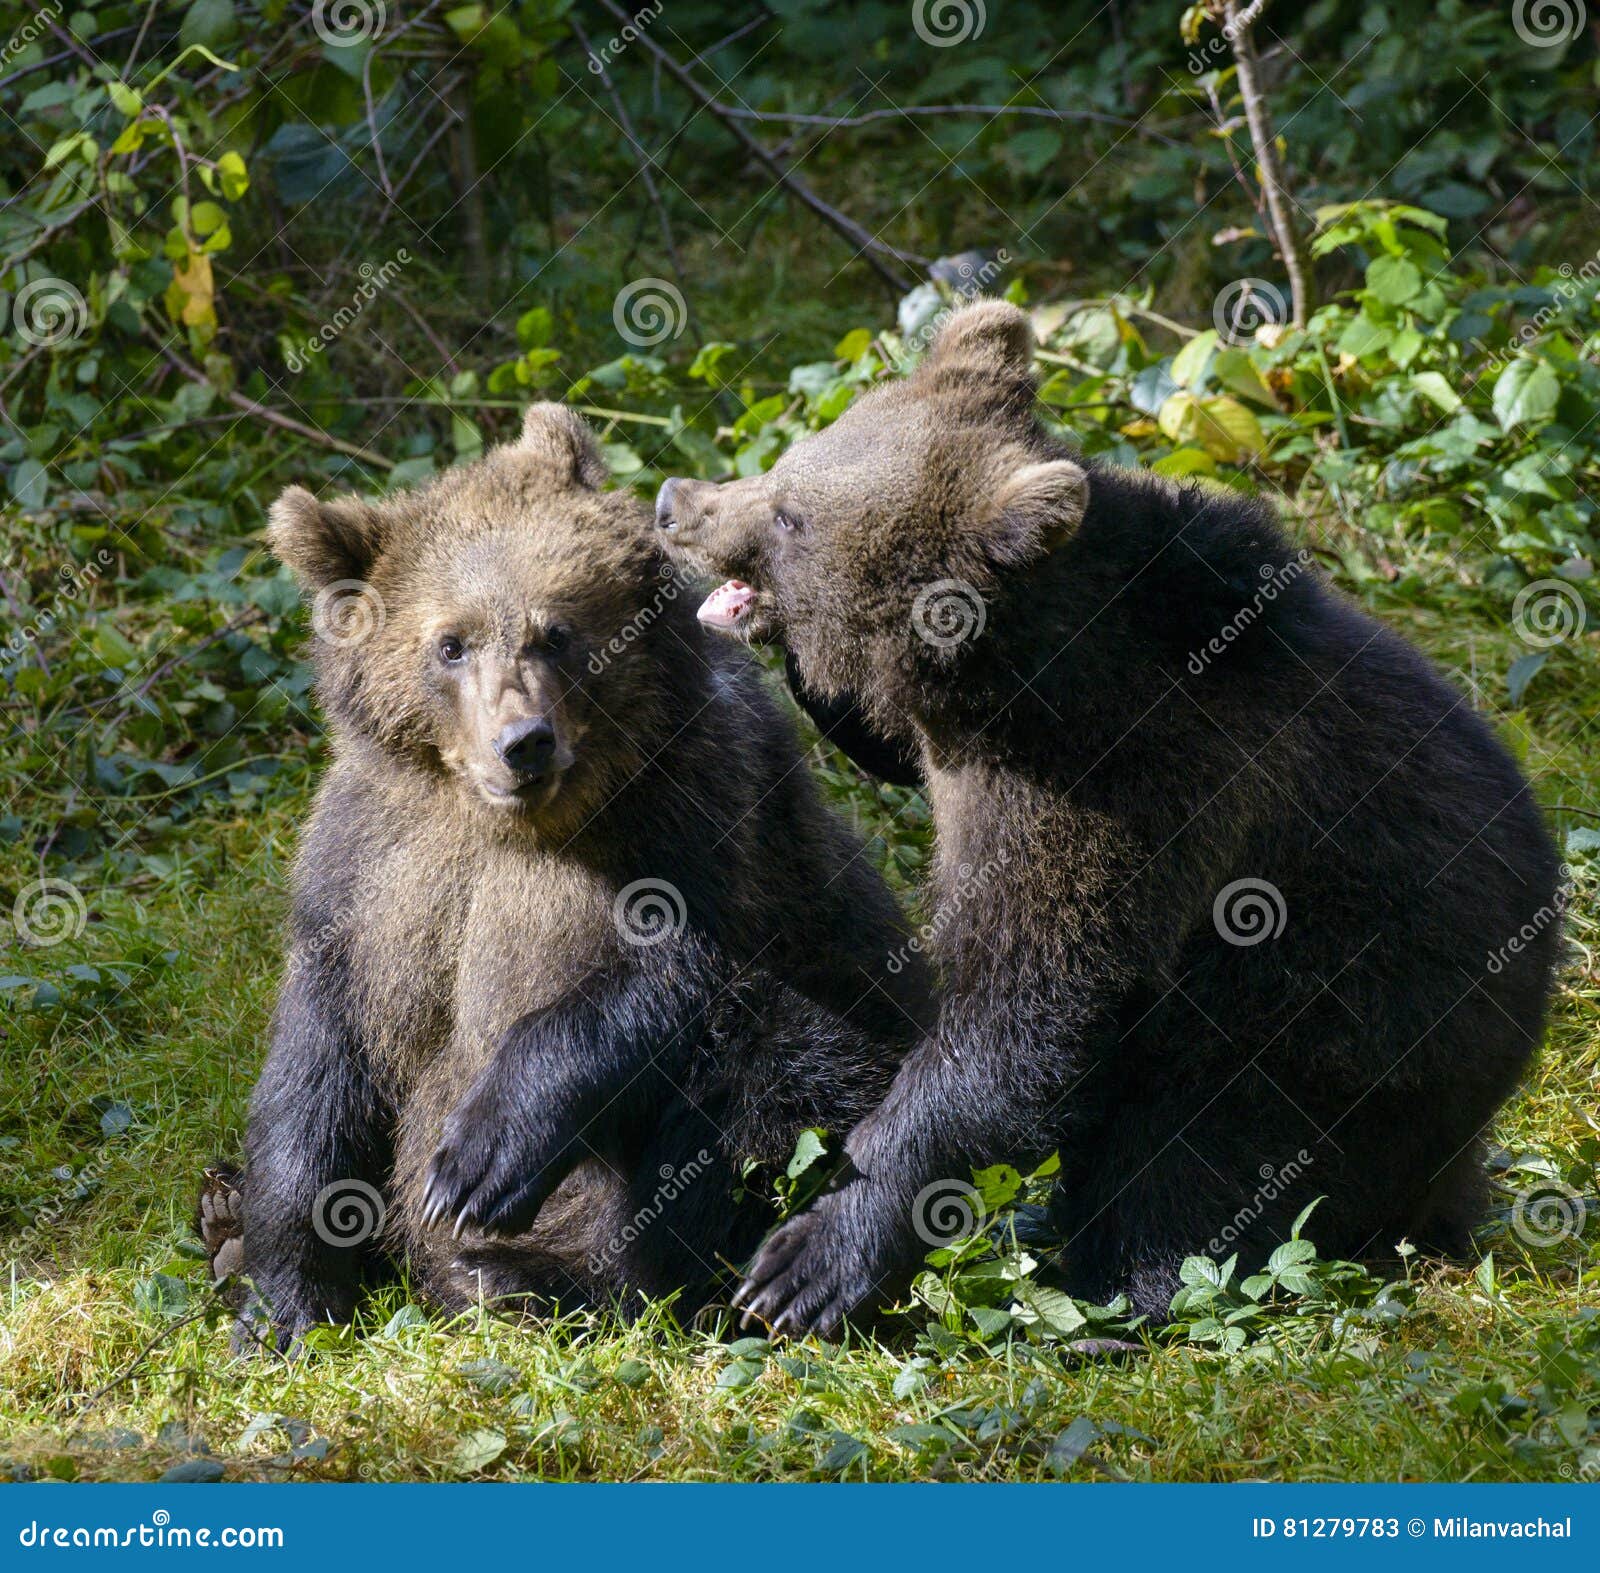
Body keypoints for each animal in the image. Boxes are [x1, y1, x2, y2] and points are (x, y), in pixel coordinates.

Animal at [231, 403, 932, 1345]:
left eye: (557, 631)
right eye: (450, 644)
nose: (523, 742)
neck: (511, 822)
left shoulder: (695, 813)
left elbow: (665, 982)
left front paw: (478, 1162)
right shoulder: (372, 865)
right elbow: (319, 1062)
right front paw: (282, 1297)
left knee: (777, 1073)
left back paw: (549, 1277)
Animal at [653, 299, 1564, 1336]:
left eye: (793, 515)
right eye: (788, 461)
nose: (675, 501)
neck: (1019, 688)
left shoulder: (1125, 795)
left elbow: (1029, 1015)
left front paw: (809, 1259)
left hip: (1353, 1029)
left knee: (1202, 1160)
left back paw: (1120, 1300)